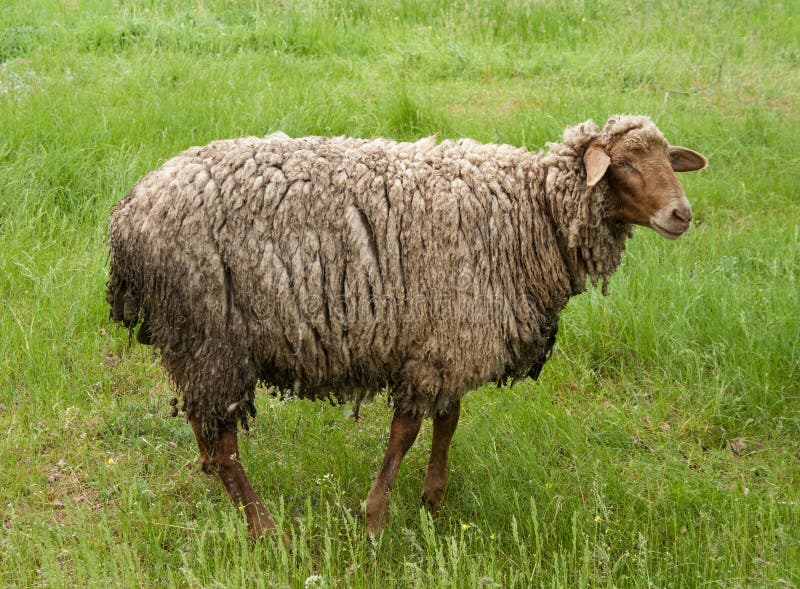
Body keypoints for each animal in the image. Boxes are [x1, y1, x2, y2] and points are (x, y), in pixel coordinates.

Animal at [107, 114, 707, 538]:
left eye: (668, 161)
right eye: (624, 165)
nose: (682, 215)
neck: (529, 214)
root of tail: (128, 213)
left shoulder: (452, 340)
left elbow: (448, 421)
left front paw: (433, 501)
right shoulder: (434, 344)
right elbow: (406, 432)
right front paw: (375, 518)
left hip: (193, 341)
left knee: (205, 429)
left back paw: (223, 492)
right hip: (213, 337)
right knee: (226, 443)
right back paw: (264, 529)